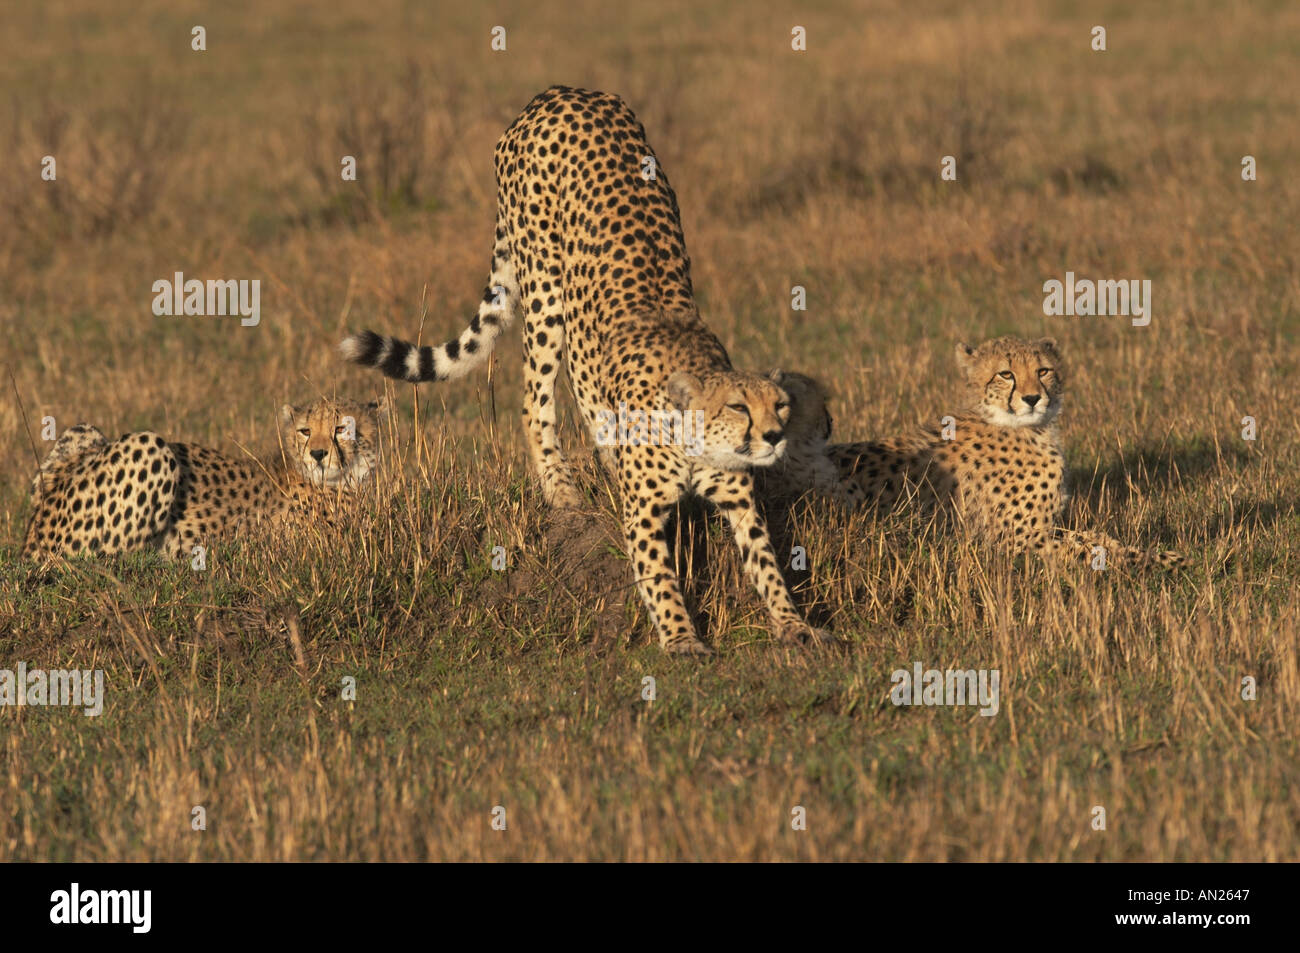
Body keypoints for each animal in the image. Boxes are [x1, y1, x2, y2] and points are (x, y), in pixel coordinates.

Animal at [340, 85, 829, 655]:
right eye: (737, 408)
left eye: (781, 406)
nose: (773, 437)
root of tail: (561, 93)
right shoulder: (644, 512)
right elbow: (659, 578)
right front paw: (682, 639)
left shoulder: (740, 501)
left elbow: (767, 564)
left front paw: (795, 625)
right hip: (548, 298)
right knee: (538, 402)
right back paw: (562, 491)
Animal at [765, 337, 1184, 569]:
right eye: (1005, 374)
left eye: (1044, 370)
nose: (1033, 398)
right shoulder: (1015, 539)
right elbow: (1091, 552)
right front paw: (1159, 559)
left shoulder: (1043, 526)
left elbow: (1092, 537)